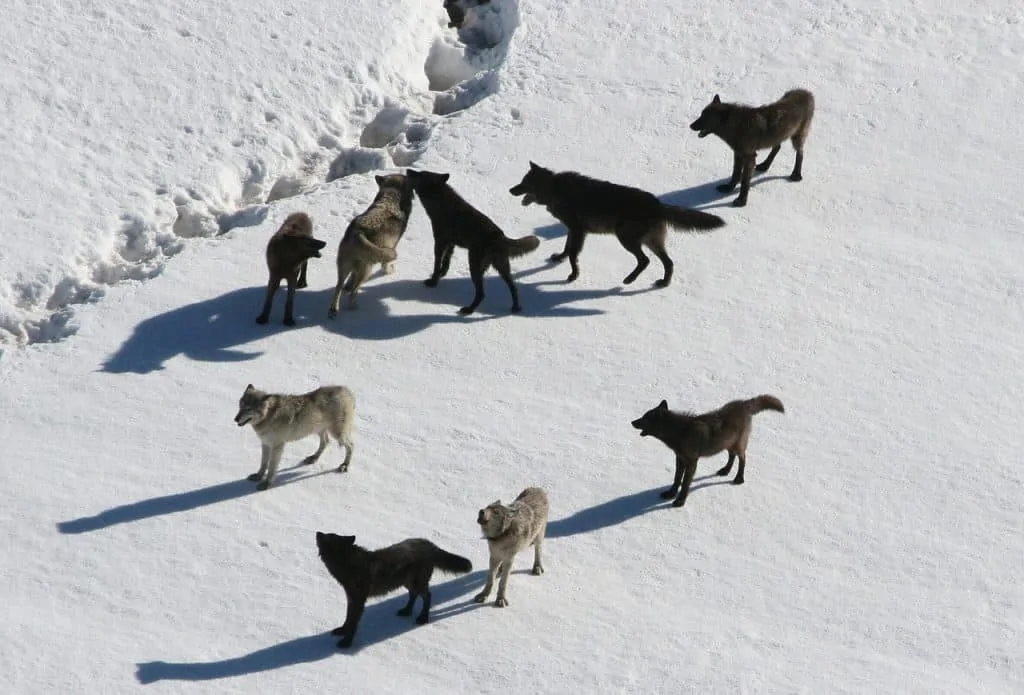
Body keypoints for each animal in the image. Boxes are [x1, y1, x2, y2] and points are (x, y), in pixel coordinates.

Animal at [315, 532, 472, 648]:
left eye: (327, 537)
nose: (317, 532)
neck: (348, 564)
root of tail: (430, 544)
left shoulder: (358, 600)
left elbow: (353, 622)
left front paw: (346, 643)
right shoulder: (351, 598)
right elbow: (348, 618)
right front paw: (342, 631)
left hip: (417, 583)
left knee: (427, 596)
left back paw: (422, 618)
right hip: (407, 582)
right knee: (413, 594)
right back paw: (406, 611)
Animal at [328, 173, 415, 317]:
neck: (391, 196)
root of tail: (358, 232)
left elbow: (350, 280)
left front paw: (348, 285)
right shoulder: (393, 247)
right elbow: (387, 265)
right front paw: (389, 271)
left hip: (343, 267)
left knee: (338, 287)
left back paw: (334, 309)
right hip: (367, 270)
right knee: (353, 292)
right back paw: (355, 308)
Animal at [406, 169, 541, 315]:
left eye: (420, 174)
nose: (408, 170)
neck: (440, 203)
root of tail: (500, 237)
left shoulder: (440, 242)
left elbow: (437, 264)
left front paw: (433, 282)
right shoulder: (451, 244)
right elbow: (446, 263)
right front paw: (442, 274)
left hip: (475, 266)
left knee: (482, 294)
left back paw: (469, 310)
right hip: (502, 268)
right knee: (514, 287)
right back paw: (515, 308)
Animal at [508, 162, 725, 286]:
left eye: (523, 183)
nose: (510, 190)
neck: (554, 188)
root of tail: (658, 204)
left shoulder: (578, 230)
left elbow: (572, 254)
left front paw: (573, 275)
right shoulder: (573, 230)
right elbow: (567, 248)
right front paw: (559, 259)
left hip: (626, 238)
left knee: (645, 260)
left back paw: (629, 279)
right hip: (651, 241)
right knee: (668, 262)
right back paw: (663, 283)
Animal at [631, 395, 785, 508]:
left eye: (644, 418)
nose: (632, 422)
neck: (681, 432)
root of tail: (744, 403)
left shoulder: (692, 462)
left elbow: (685, 483)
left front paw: (680, 501)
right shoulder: (679, 458)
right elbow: (676, 479)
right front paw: (670, 494)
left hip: (737, 445)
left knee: (743, 459)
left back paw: (739, 479)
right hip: (727, 444)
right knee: (732, 456)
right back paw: (725, 471)